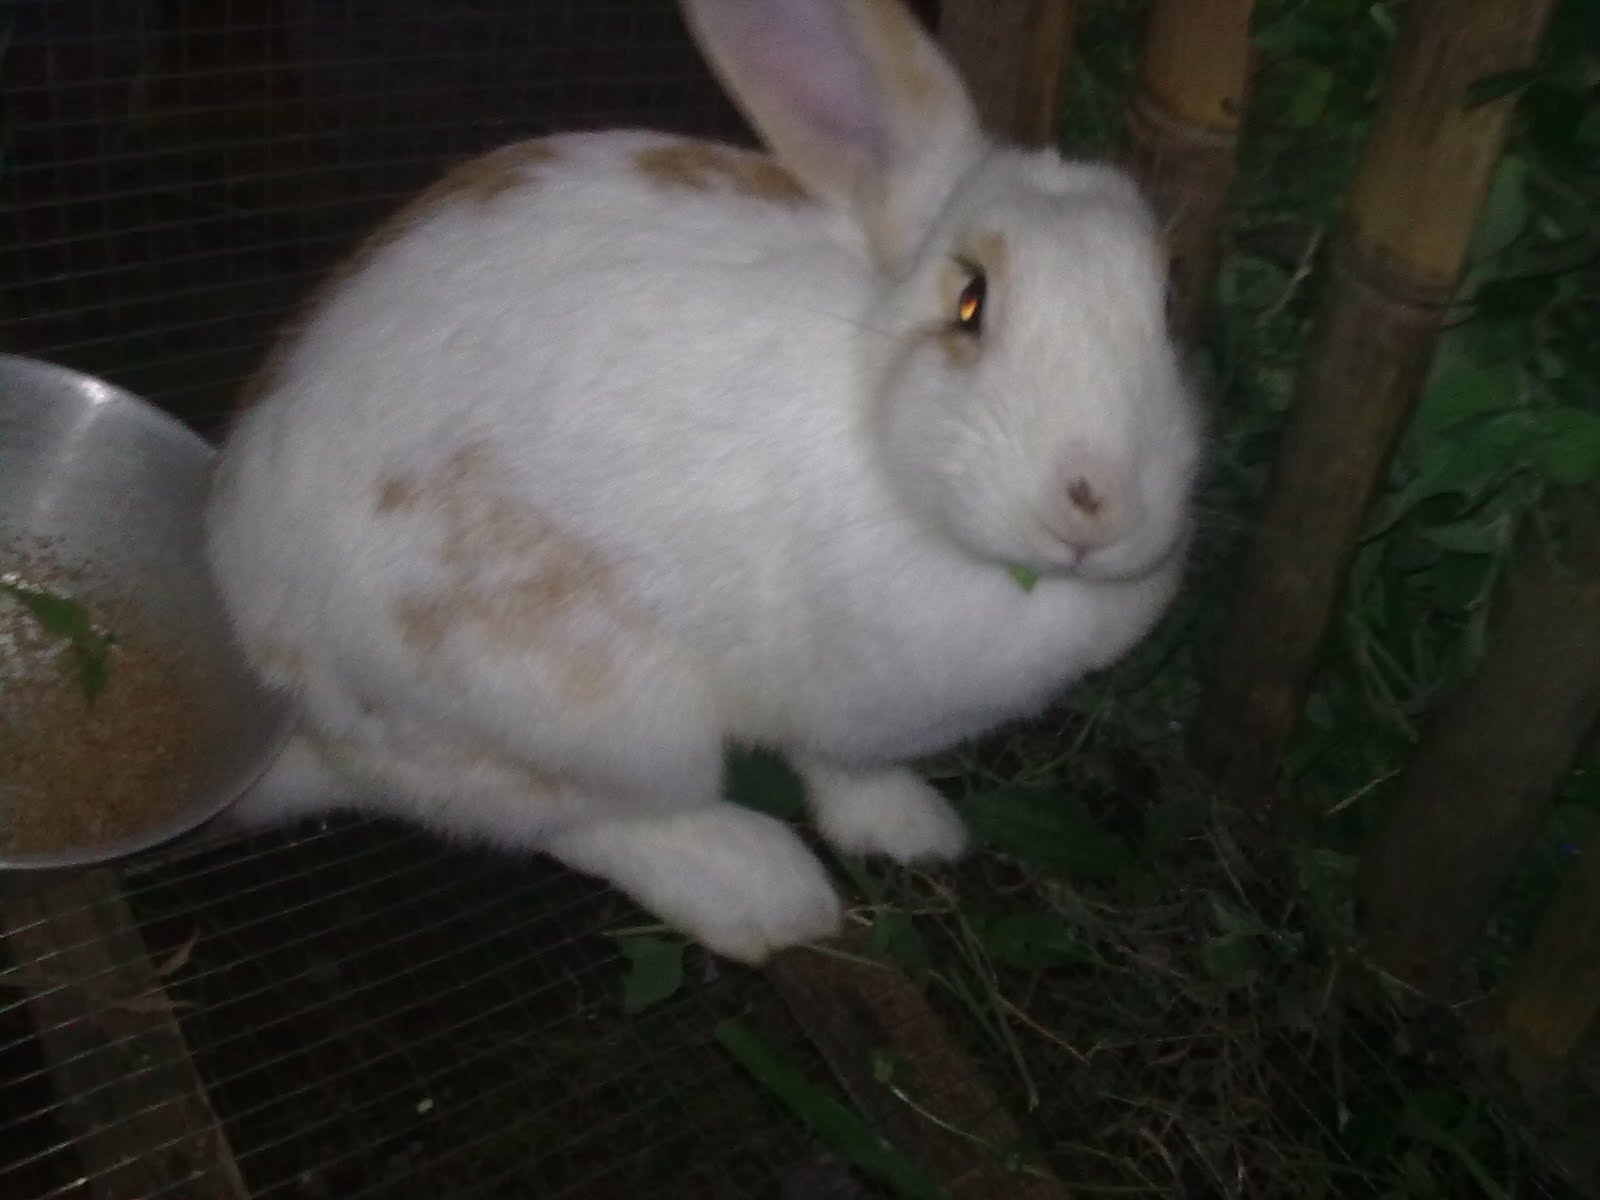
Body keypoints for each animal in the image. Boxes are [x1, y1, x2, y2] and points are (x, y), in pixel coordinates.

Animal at [203, 0, 1203, 966]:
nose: (1093, 501)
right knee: (543, 817)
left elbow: (854, 778)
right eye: (971, 303)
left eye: (1166, 309)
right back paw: (762, 889)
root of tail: (290, 696)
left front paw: (914, 831)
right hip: (600, 720)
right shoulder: (831, 705)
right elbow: (830, 759)